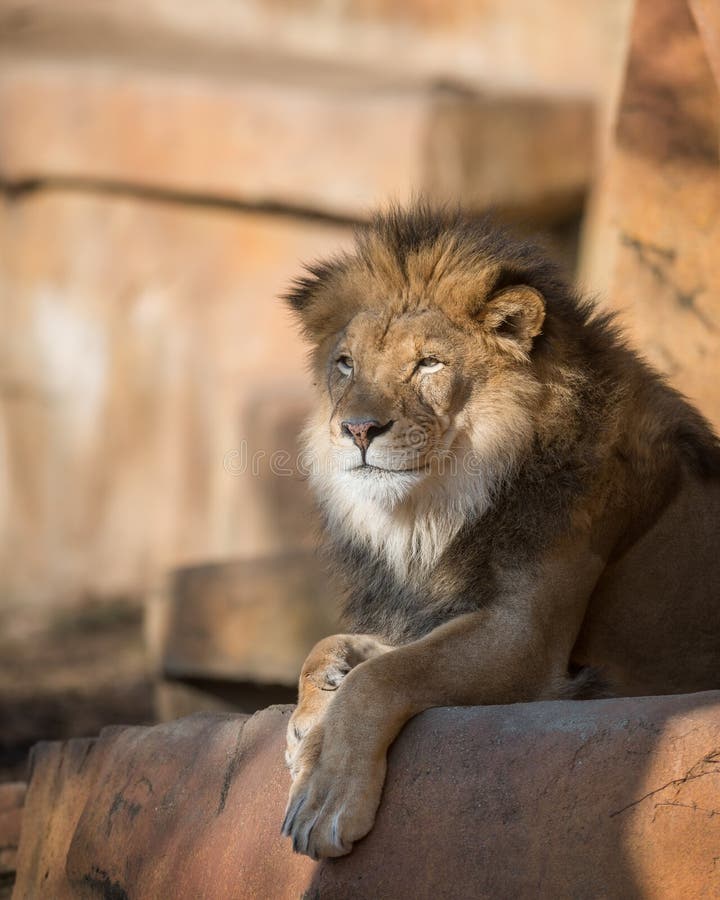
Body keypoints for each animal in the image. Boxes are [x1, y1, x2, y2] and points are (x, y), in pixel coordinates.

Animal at [280, 204, 720, 860]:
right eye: (345, 364)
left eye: (429, 363)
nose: (357, 429)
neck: (436, 512)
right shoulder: (439, 610)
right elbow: (334, 646)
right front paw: (310, 713)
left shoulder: (524, 636)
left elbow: (385, 676)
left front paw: (324, 791)